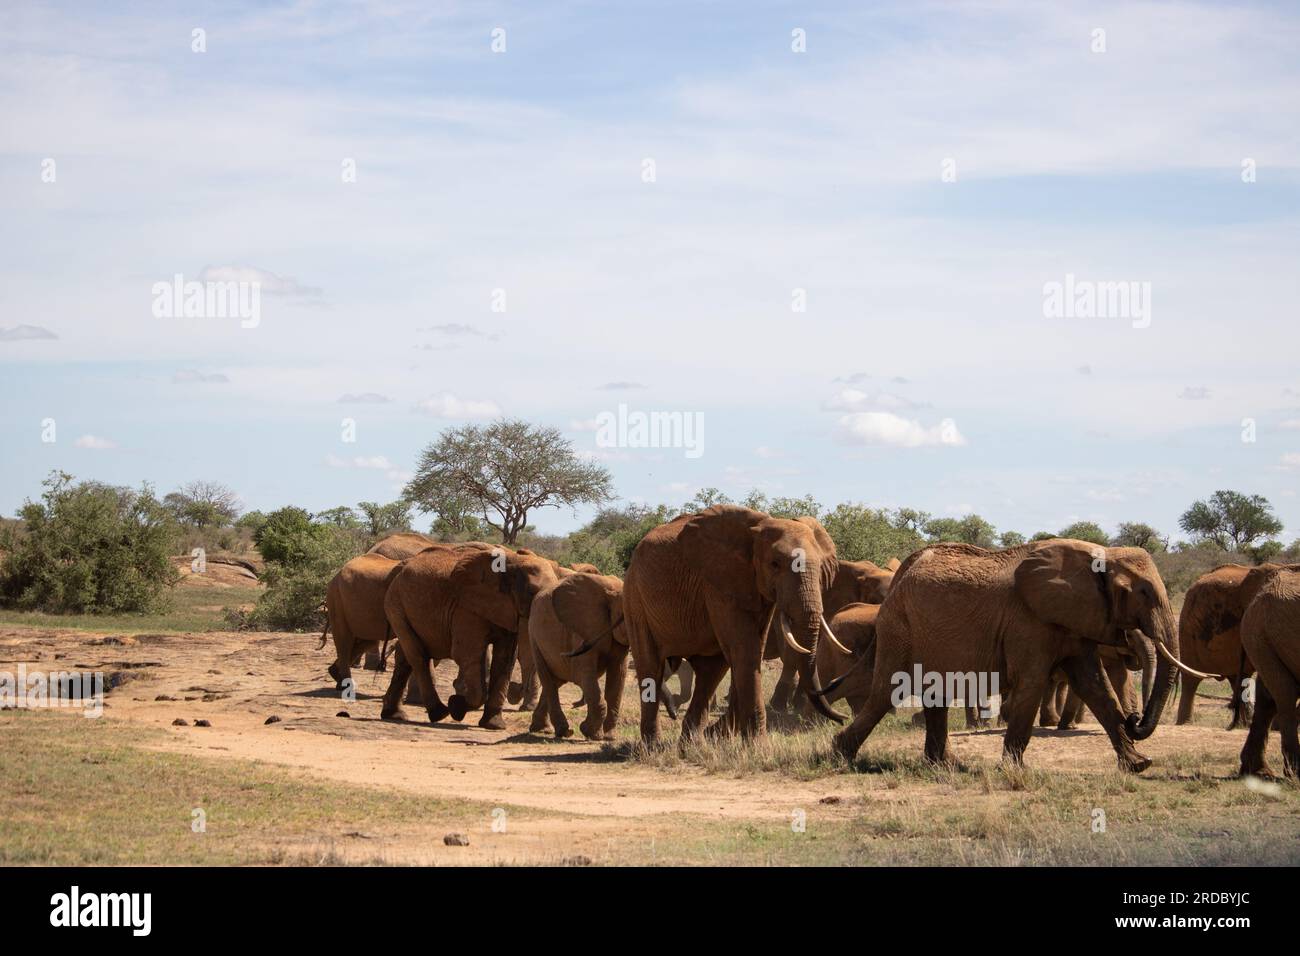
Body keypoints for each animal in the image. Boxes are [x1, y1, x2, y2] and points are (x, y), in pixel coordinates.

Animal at [381, 543, 558, 729]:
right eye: (531, 591)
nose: (516, 692)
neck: (512, 561)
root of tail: (400, 567)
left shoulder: (508, 610)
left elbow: (505, 660)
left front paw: (494, 725)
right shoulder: (465, 608)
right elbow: (467, 655)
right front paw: (456, 706)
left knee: (405, 659)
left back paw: (394, 715)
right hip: (395, 603)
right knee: (418, 656)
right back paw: (439, 713)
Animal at [526, 571, 629, 740]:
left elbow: (618, 675)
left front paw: (609, 737)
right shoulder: (581, 632)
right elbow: (582, 674)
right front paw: (591, 733)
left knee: (555, 682)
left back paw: (541, 729)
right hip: (534, 636)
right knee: (549, 680)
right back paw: (563, 732)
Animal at [622, 505, 848, 744]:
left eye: (821, 566)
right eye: (774, 564)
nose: (842, 719)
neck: (759, 527)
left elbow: (751, 651)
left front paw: (722, 736)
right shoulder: (718, 584)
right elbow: (744, 651)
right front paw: (757, 747)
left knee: (710, 671)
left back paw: (692, 744)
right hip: (634, 597)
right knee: (650, 666)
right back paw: (653, 746)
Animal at [830, 539, 1209, 773]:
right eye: (1142, 592)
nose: (1136, 719)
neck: (1096, 555)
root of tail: (899, 576)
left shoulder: (1072, 620)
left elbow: (1095, 685)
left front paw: (1139, 764)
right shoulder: (1029, 622)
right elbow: (1032, 682)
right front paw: (1016, 770)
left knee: (933, 694)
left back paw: (945, 766)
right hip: (900, 627)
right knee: (885, 692)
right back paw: (839, 756)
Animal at [1239, 566, 1300, 777]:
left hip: (1263, 635)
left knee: (1268, 696)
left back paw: (1258, 771)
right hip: (1262, 633)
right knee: (1285, 694)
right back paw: (1294, 772)